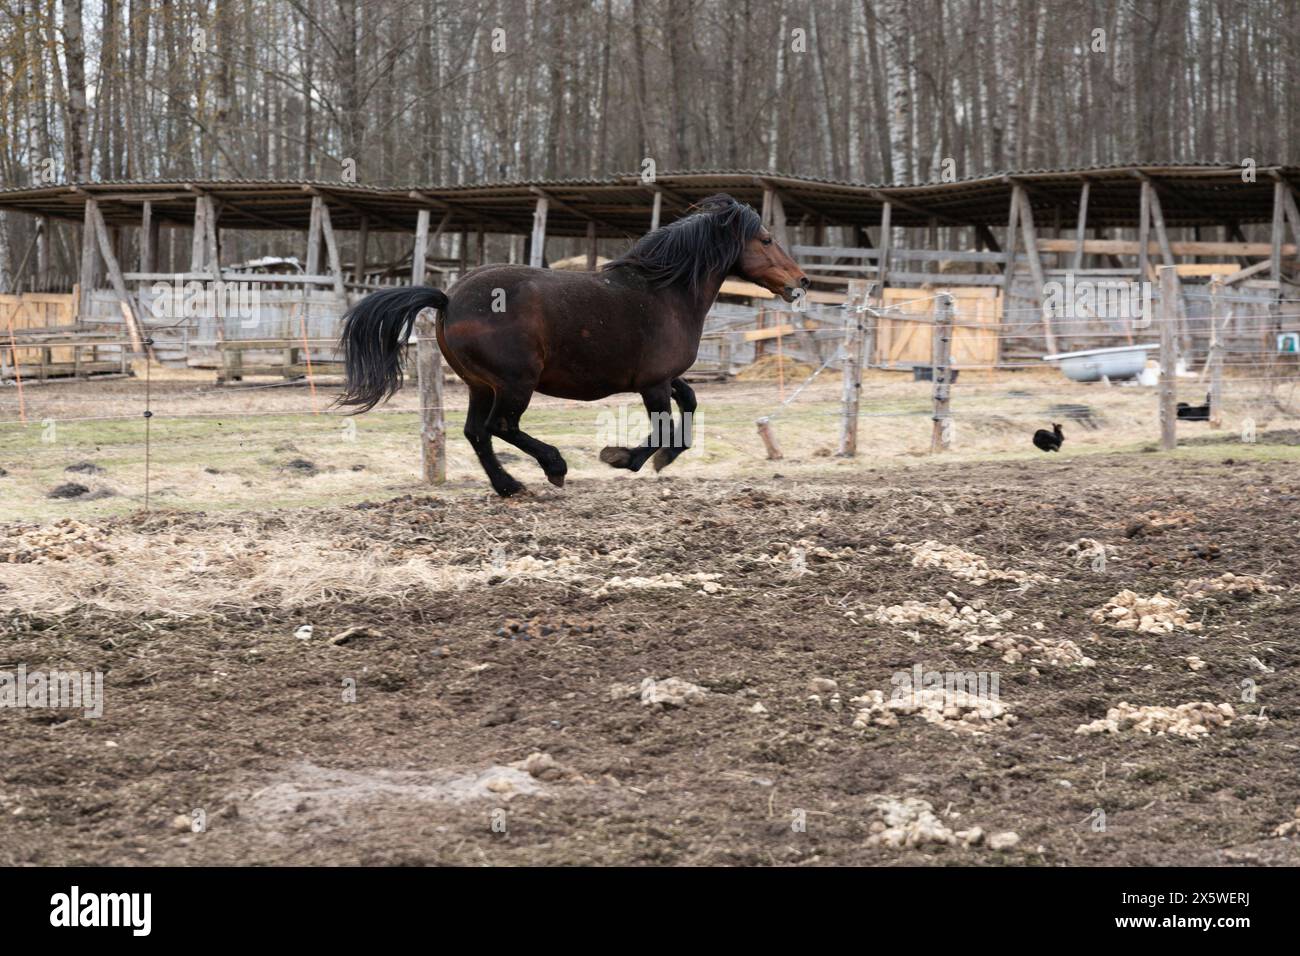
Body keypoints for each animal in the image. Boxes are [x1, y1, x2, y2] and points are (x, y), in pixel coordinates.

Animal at [335, 193, 808, 497]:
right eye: (767, 239)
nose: (800, 282)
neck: (666, 292)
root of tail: (448, 299)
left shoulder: (661, 377)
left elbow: (689, 402)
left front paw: (664, 459)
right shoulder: (654, 383)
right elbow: (661, 427)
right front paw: (622, 457)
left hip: (480, 385)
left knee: (476, 432)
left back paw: (510, 486)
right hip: (515, 383)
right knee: (500, 427)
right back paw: (553, 468)